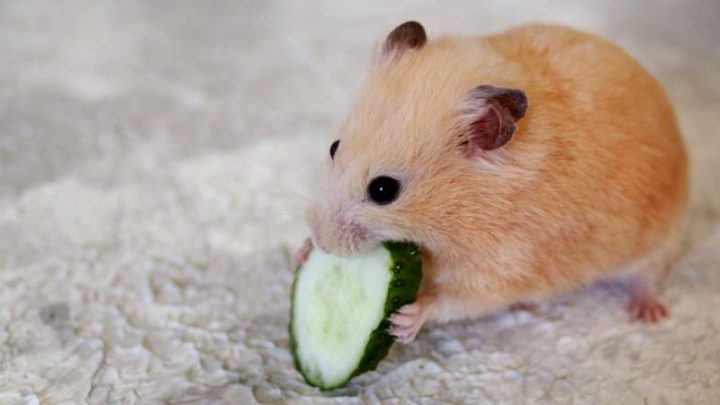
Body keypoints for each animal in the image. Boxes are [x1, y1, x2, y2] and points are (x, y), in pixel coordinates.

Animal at [296, 21, 688, 343]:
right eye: (334, 147)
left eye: (383, 190)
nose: (324, 243)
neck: (457, 208)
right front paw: (301, 253)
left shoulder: (505, 265)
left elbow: (457, 300)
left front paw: (403, 322)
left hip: (661, 238)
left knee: (650, 274)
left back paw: (649, 313)